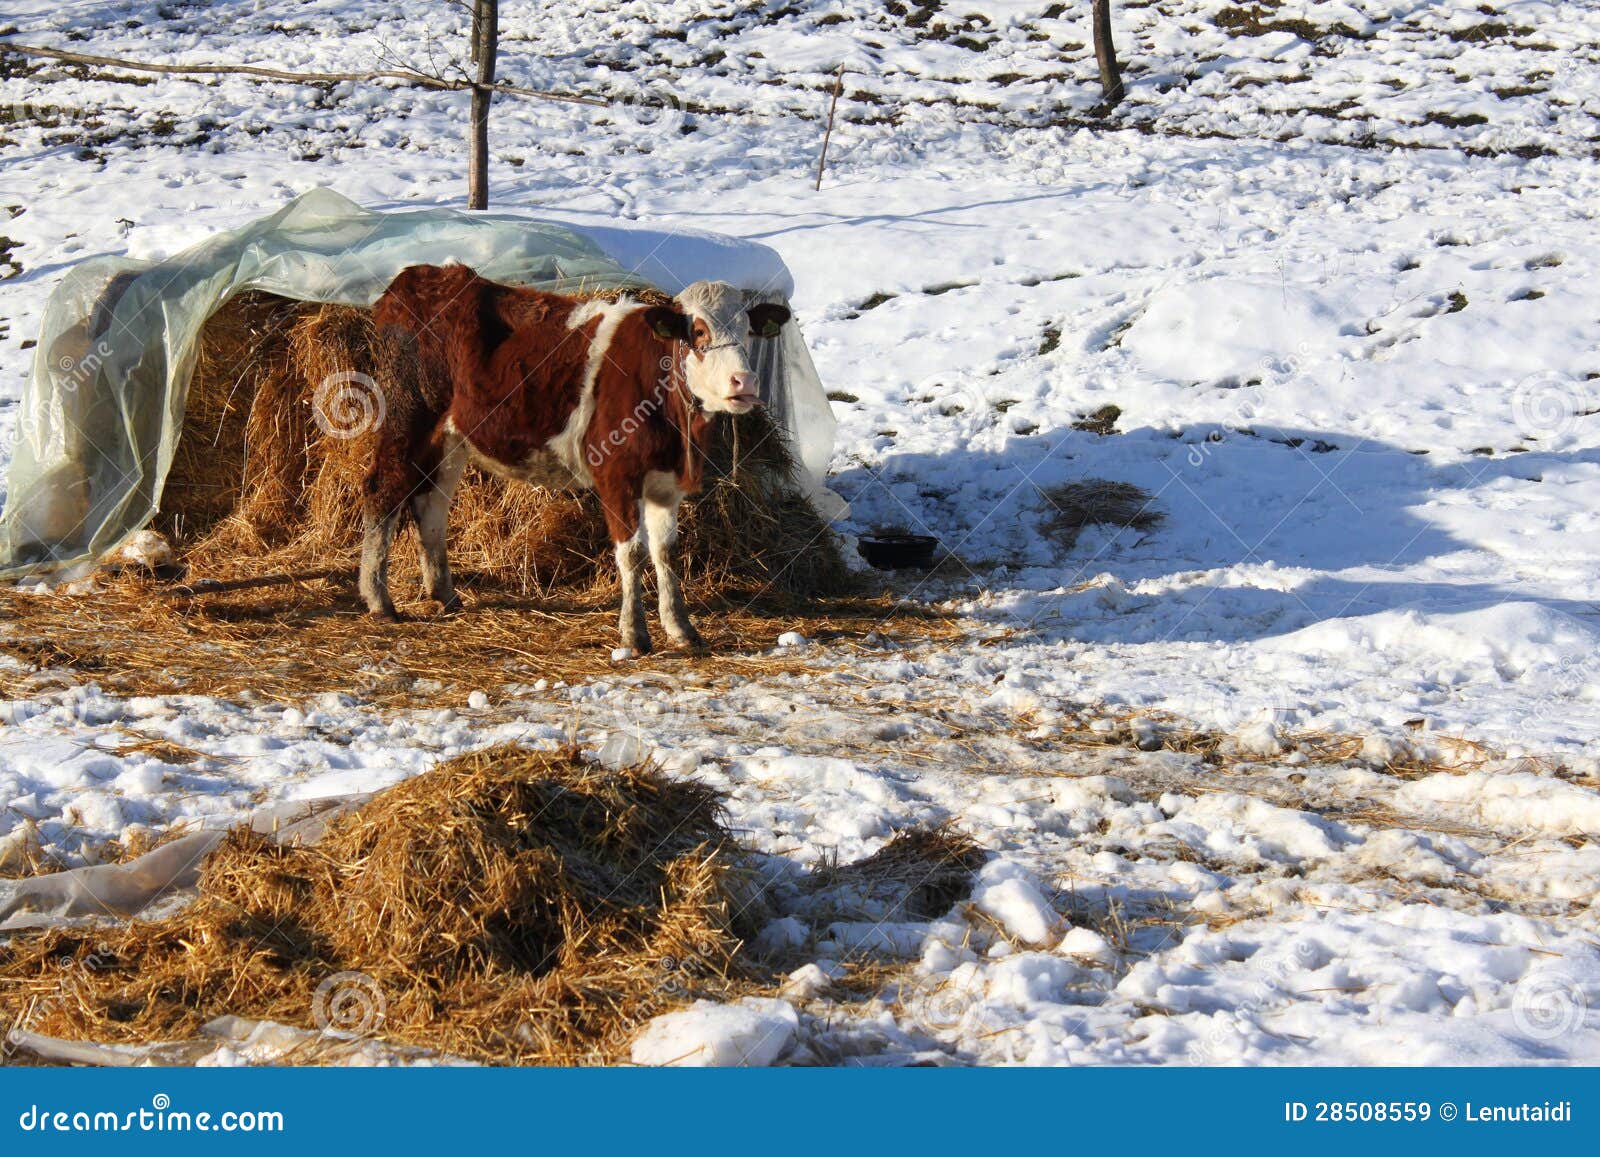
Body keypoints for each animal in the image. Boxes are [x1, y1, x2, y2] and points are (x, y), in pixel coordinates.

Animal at [357, 264, 790, 655]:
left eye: (748, 332)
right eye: (699, 332)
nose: (745, 383)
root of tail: (423, 275)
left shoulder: (666, 485)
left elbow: (666, 552)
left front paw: (681, 629)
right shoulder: (617, 476)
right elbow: (632, 553)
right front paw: (634, 634)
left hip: (450, 439)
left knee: (431, 503)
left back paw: (444, 593)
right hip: (408, 416)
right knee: (383, 490)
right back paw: (379, 600)